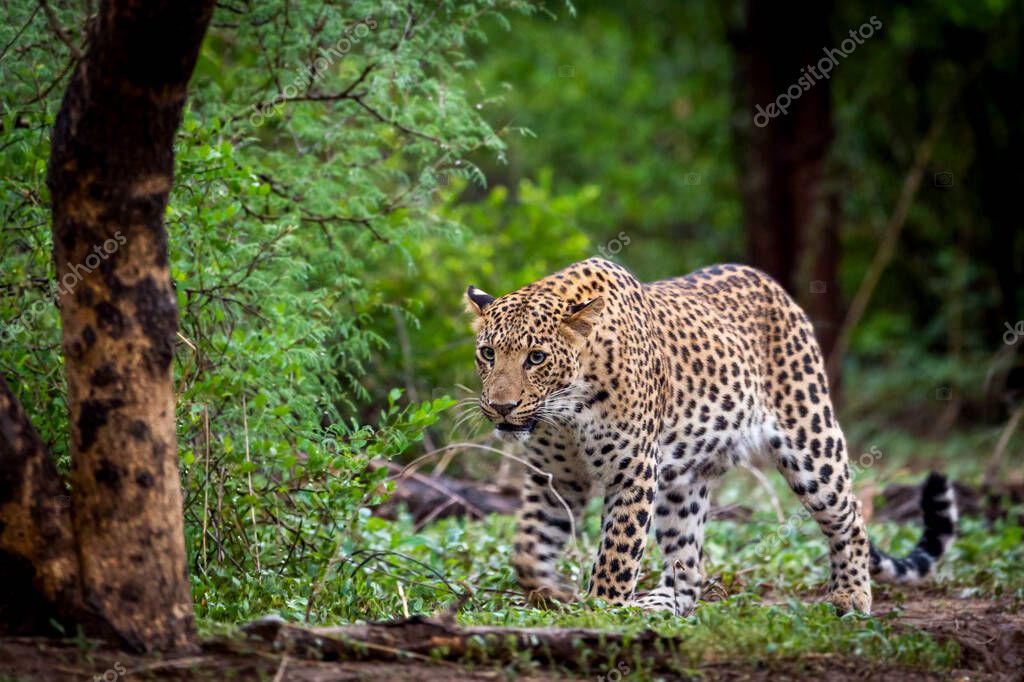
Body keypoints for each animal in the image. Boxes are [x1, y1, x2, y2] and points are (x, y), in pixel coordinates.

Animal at [464, 257, 957, 615]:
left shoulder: (633, 472)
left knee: (850, 515)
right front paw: (549, 592)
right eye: (487, 353)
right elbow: (529, 545)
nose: (502, 406)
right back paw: (657, 605)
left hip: (811, 440)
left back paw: (850, 595)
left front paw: (600, 612)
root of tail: (770, 282)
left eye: (536, 357)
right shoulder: (555, 477)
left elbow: (617, 553)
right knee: (689, 567)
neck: (566, 412)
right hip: (683, 484)